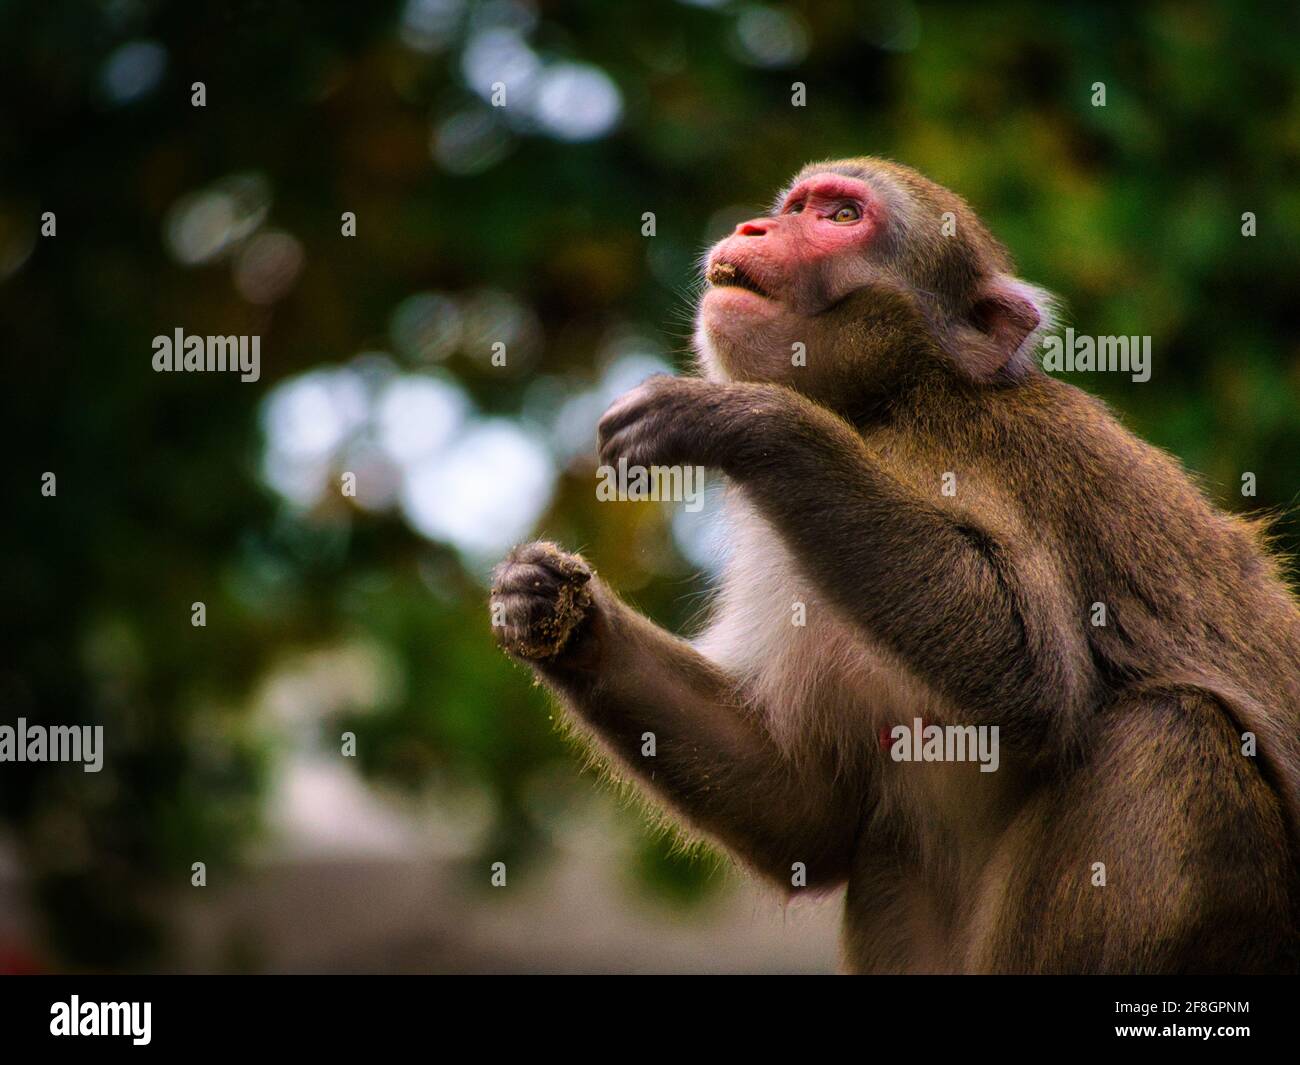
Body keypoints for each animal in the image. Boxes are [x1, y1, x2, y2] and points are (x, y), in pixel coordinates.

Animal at [489, 157, 1300, 974]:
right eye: (794, 205)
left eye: (843, 216)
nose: (754, 226)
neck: (888, 403)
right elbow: (808, 812)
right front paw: (557, 613)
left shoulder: (984, 458)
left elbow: (1035, 676)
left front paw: (747, 420)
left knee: (1171, 732)